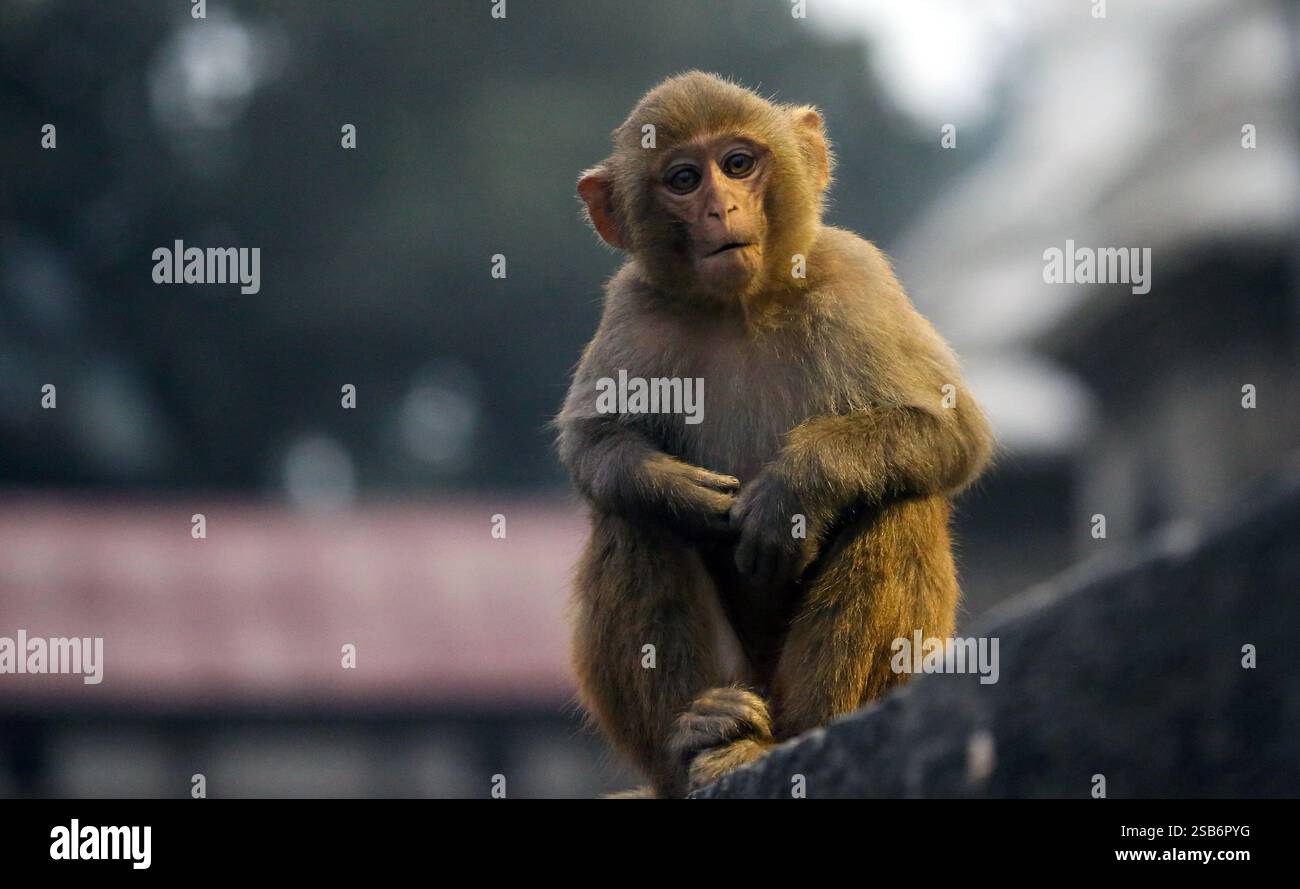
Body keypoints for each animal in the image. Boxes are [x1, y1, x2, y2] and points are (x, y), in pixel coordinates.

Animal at [557, 72, 993, 798]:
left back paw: (814, 726)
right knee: (629, 521)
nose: (721, 209)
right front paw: (670, 488)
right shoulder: (633, 306)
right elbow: (594, 445)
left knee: (900, 503)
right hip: (738, 679)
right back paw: (705, 737)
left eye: (737, 164)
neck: (742, 307)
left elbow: (952, 431)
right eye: (683, 179)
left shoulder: (854, 274)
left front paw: (797, 490)